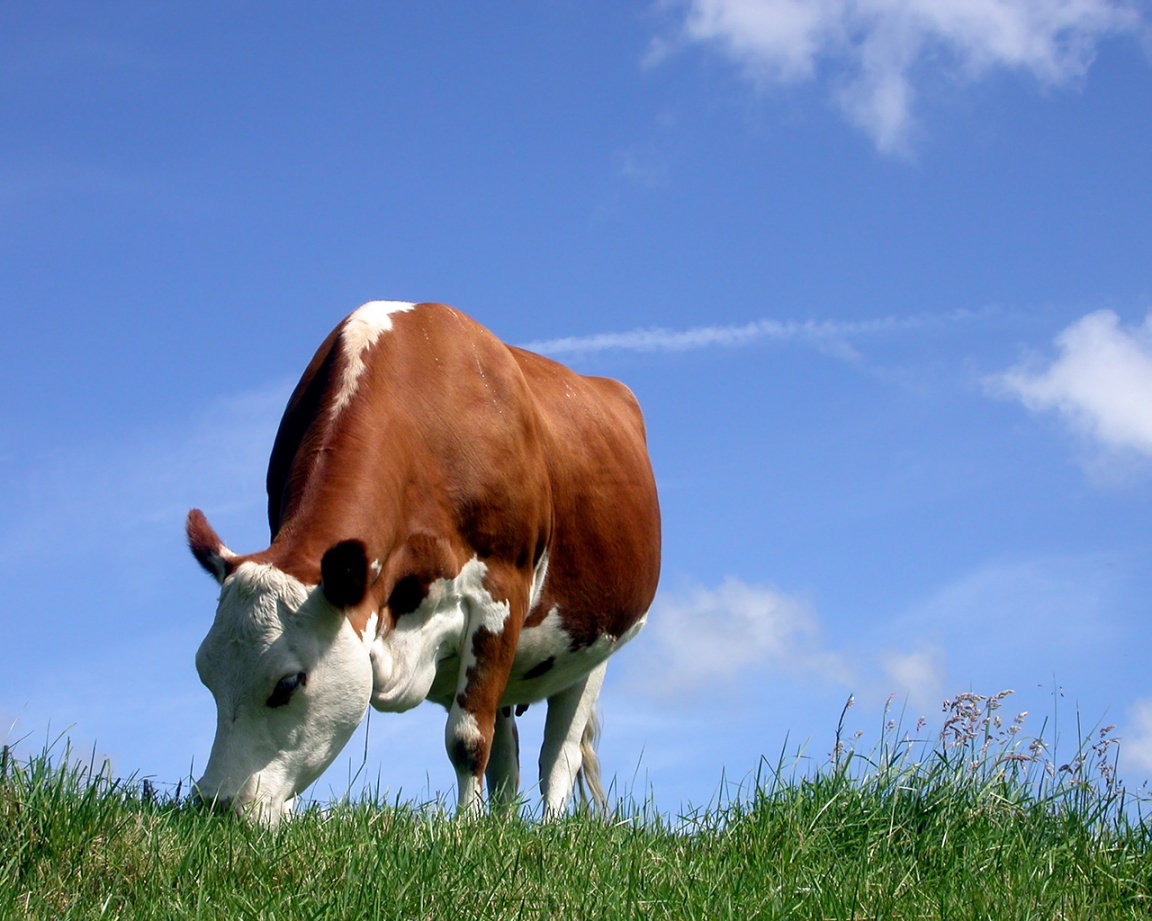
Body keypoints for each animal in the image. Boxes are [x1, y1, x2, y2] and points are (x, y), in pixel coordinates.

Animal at [187, 301, 660, 823]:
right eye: (205, 673)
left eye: (288, 683)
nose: (215, 805)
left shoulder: (500, 594)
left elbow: (468, 739)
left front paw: (465, 828)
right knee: (509, 757)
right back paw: (505, 826)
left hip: (594, 646)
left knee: (558, 754)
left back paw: (549, 826)